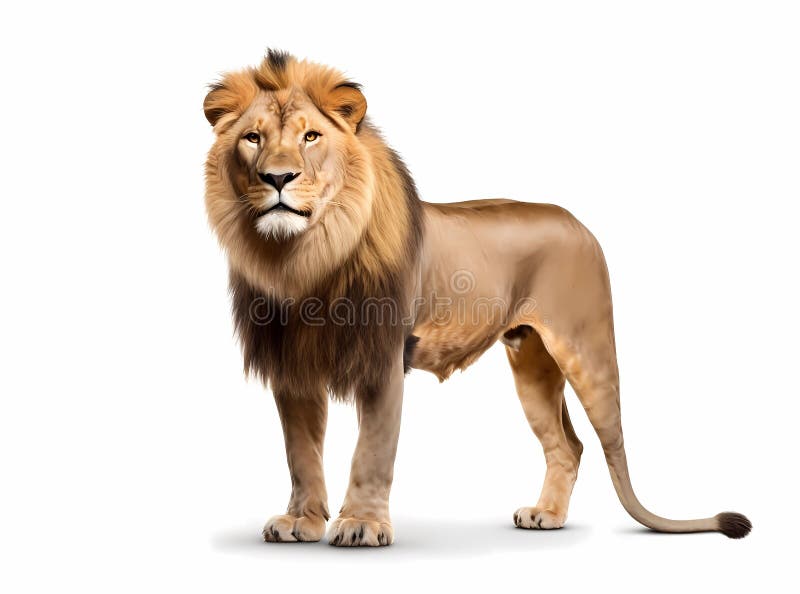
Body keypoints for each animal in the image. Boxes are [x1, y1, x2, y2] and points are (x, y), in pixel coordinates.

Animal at [203, 50, 751, 545]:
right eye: (253, 138)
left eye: (311, 137)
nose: (278, 178)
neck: (304, 258)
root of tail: (577, 221)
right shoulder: (292, 365)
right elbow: (300, 453)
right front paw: (301, 521)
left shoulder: (384, 357)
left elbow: (372, 451)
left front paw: (362, 524)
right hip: (532, 363)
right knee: (568, 445)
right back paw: (546, 515)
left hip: (587, 350)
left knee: (610, 441)